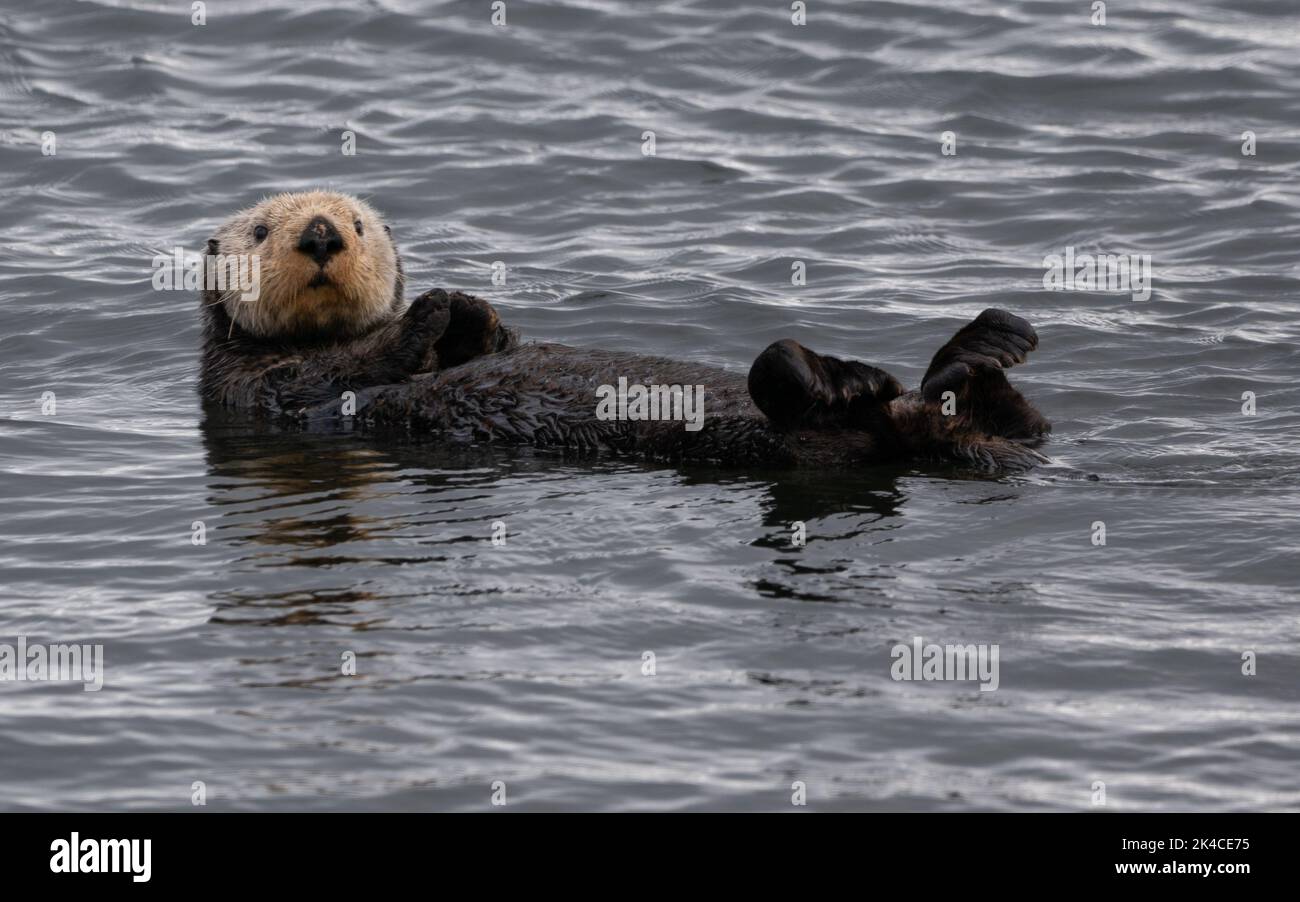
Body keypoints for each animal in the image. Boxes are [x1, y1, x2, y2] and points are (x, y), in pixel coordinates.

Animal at [200, 191, 1051, 472]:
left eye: (356, 224)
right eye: (263, 229)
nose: (319, 235)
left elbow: (489, 346)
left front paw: (473, 312)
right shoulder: (260, 388)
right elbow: (341, 376)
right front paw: (434, 309)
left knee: (1006, 420)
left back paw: (988, 346)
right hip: (808, 437)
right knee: (801, 397)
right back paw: (846, 376)